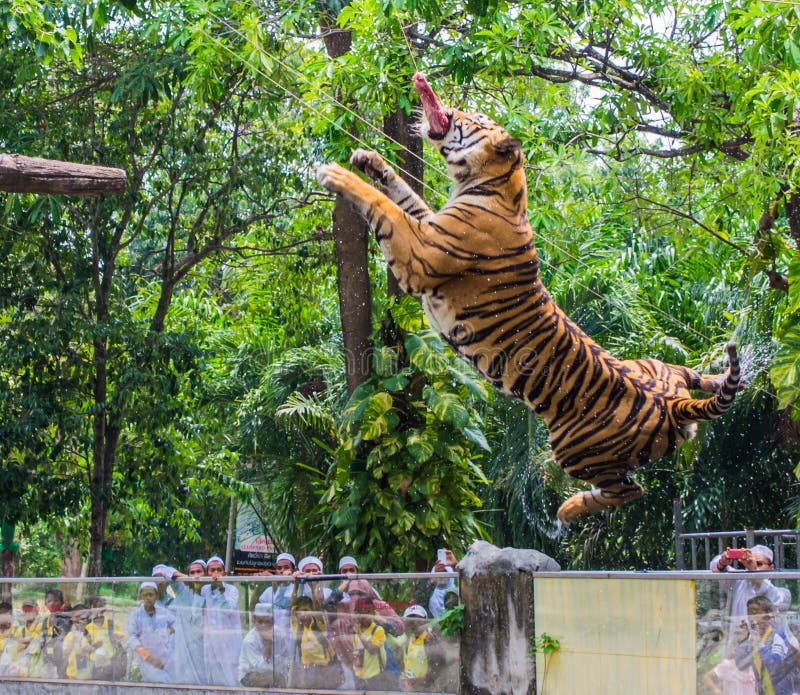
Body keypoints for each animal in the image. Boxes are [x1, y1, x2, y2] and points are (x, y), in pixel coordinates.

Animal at [316, 72, 741, 522]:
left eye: (471, 116)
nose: (449, 105)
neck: (489, 184)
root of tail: (673, 405)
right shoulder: (428, 227)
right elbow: (403, 194)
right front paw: (369, 159)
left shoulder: (422, 255)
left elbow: (385, 206)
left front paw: (338, 174)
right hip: (657, 368)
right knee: (692, 377)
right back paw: (717, 376)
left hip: (574, 448)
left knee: (628, 490)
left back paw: (569, 509)